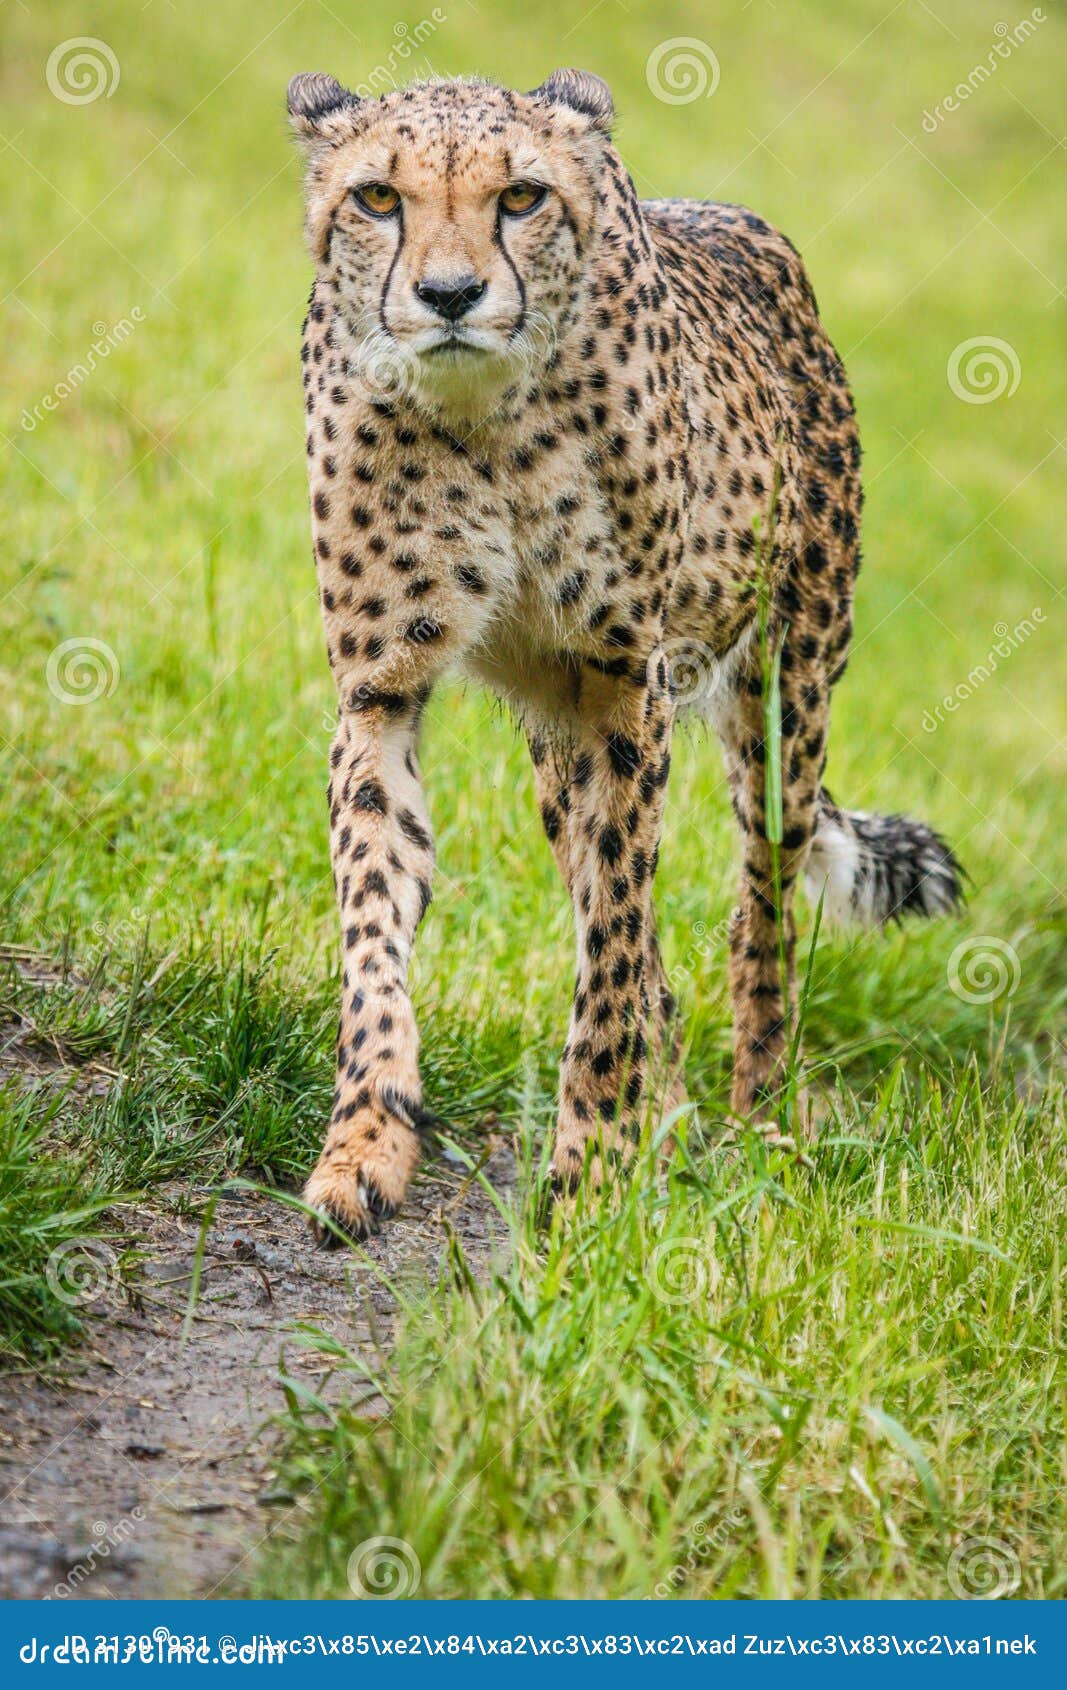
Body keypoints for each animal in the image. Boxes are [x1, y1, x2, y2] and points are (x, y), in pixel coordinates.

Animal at [287, 66, 963, 1244]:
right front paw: (365, 1144)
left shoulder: (623, 691)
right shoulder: (379, 695)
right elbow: (376, 936)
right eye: (376, 197)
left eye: (520, 197)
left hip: (784, 699)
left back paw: (758, 1123)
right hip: (557, 745)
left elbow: (609, 950)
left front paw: (590, 1171)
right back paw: (676, 1128)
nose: (451, 295)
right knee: (640, 933)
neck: (483, 424)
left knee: (757, 918)